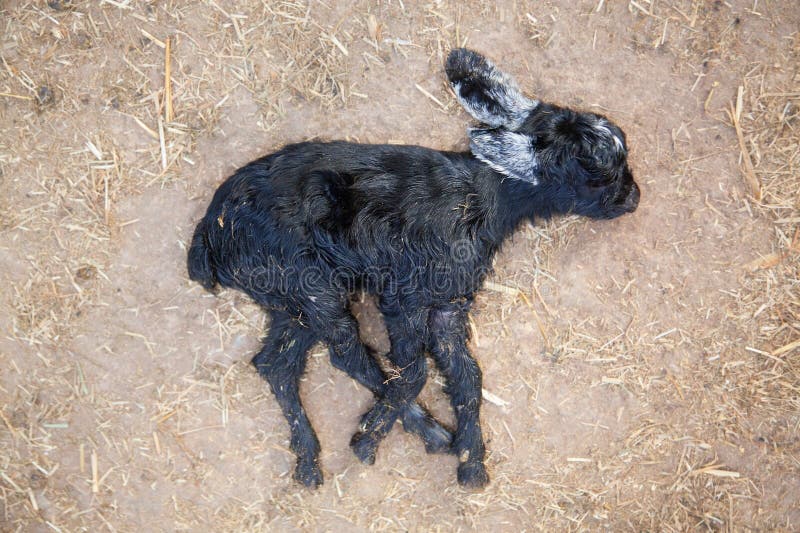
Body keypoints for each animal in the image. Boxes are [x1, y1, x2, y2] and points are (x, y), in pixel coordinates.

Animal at [187, 48, 640, 489]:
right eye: (599, 176)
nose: (633, 198)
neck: (482, 197)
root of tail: (210, 233)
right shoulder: (406, 295)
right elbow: (416, 370)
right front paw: (370, 438)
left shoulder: (448, 305)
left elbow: (467, 376)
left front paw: (472, 464)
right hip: (306, 283)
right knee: (344, 354)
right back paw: (425, 433)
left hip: (288, 297)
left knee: (276, 364)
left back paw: (309, 463)